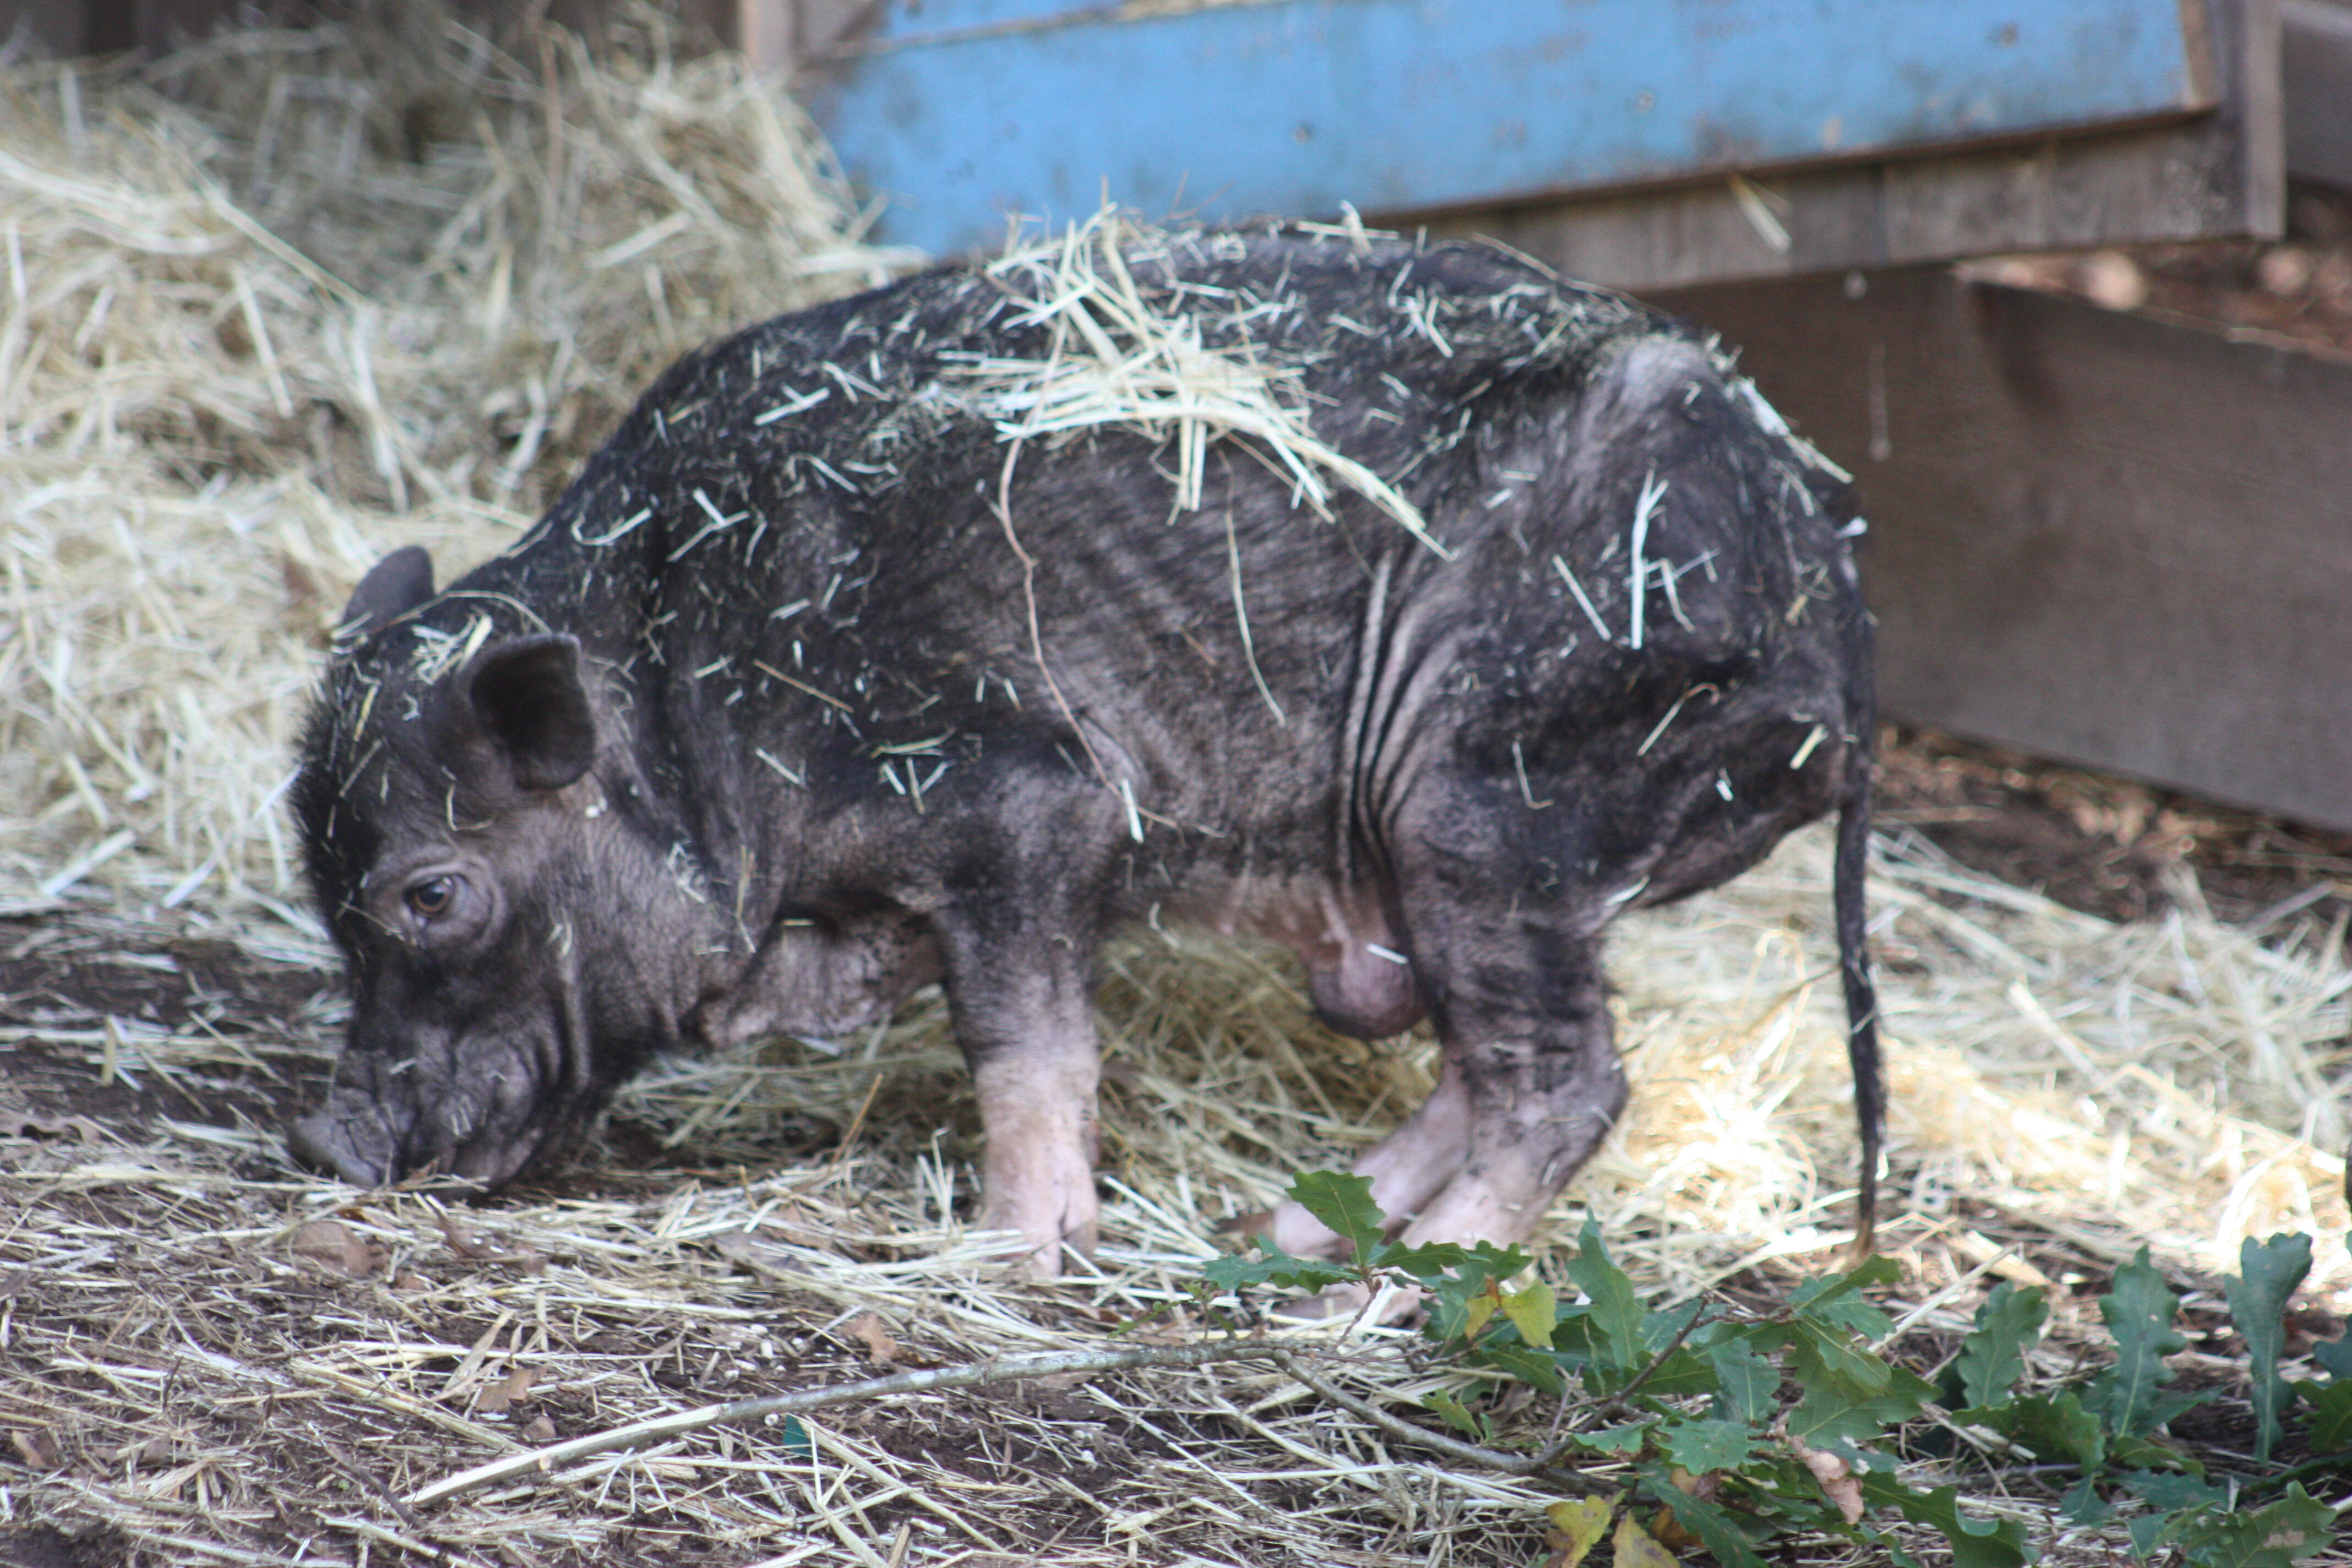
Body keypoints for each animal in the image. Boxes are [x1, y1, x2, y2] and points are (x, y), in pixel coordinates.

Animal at [288, 224, 1883, 1280]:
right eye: (323, 896)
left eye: (433, 892)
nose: (328, 1142)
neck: (696, 701)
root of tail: (1840, 595)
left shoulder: (1031, 804)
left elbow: (1026, 1043)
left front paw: (1012, 1251)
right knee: (1479, 1065)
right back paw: (1280, 1231)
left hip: (1493, 797)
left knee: (1561, 1081)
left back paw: (1377, 1300)